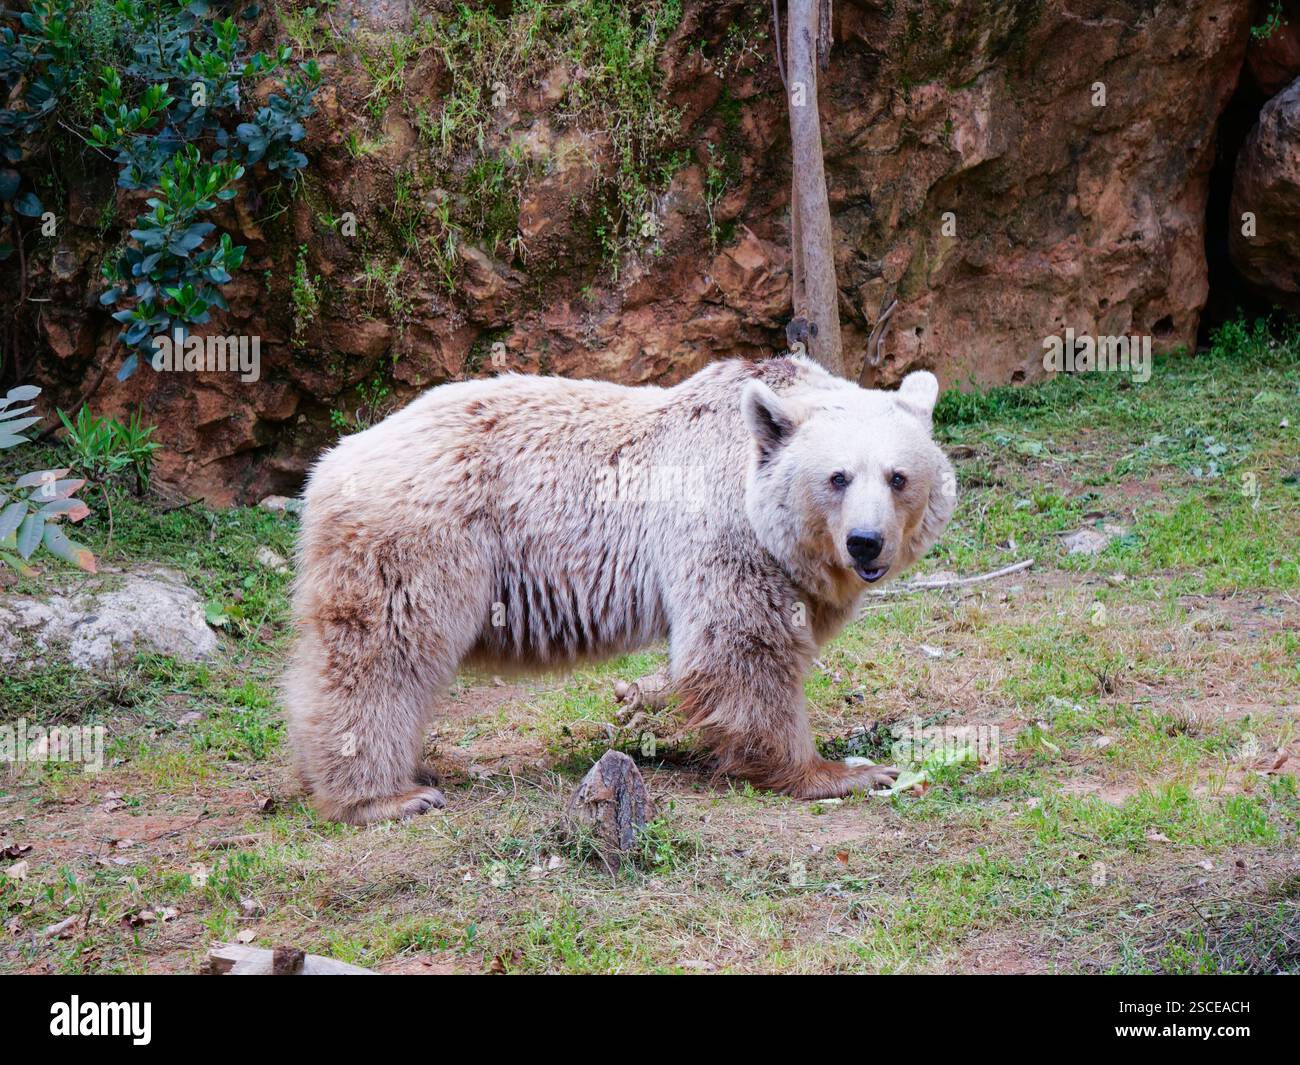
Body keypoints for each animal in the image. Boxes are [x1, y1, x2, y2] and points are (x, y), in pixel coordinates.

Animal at [284, 355, 956, 824]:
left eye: (898, 476)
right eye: (837, 477)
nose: (866, 543)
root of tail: (332, 462)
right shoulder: (721, 532)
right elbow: (740, 647)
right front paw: (839, 771)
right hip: (424, 537)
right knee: (382, 655)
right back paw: (387, 796)